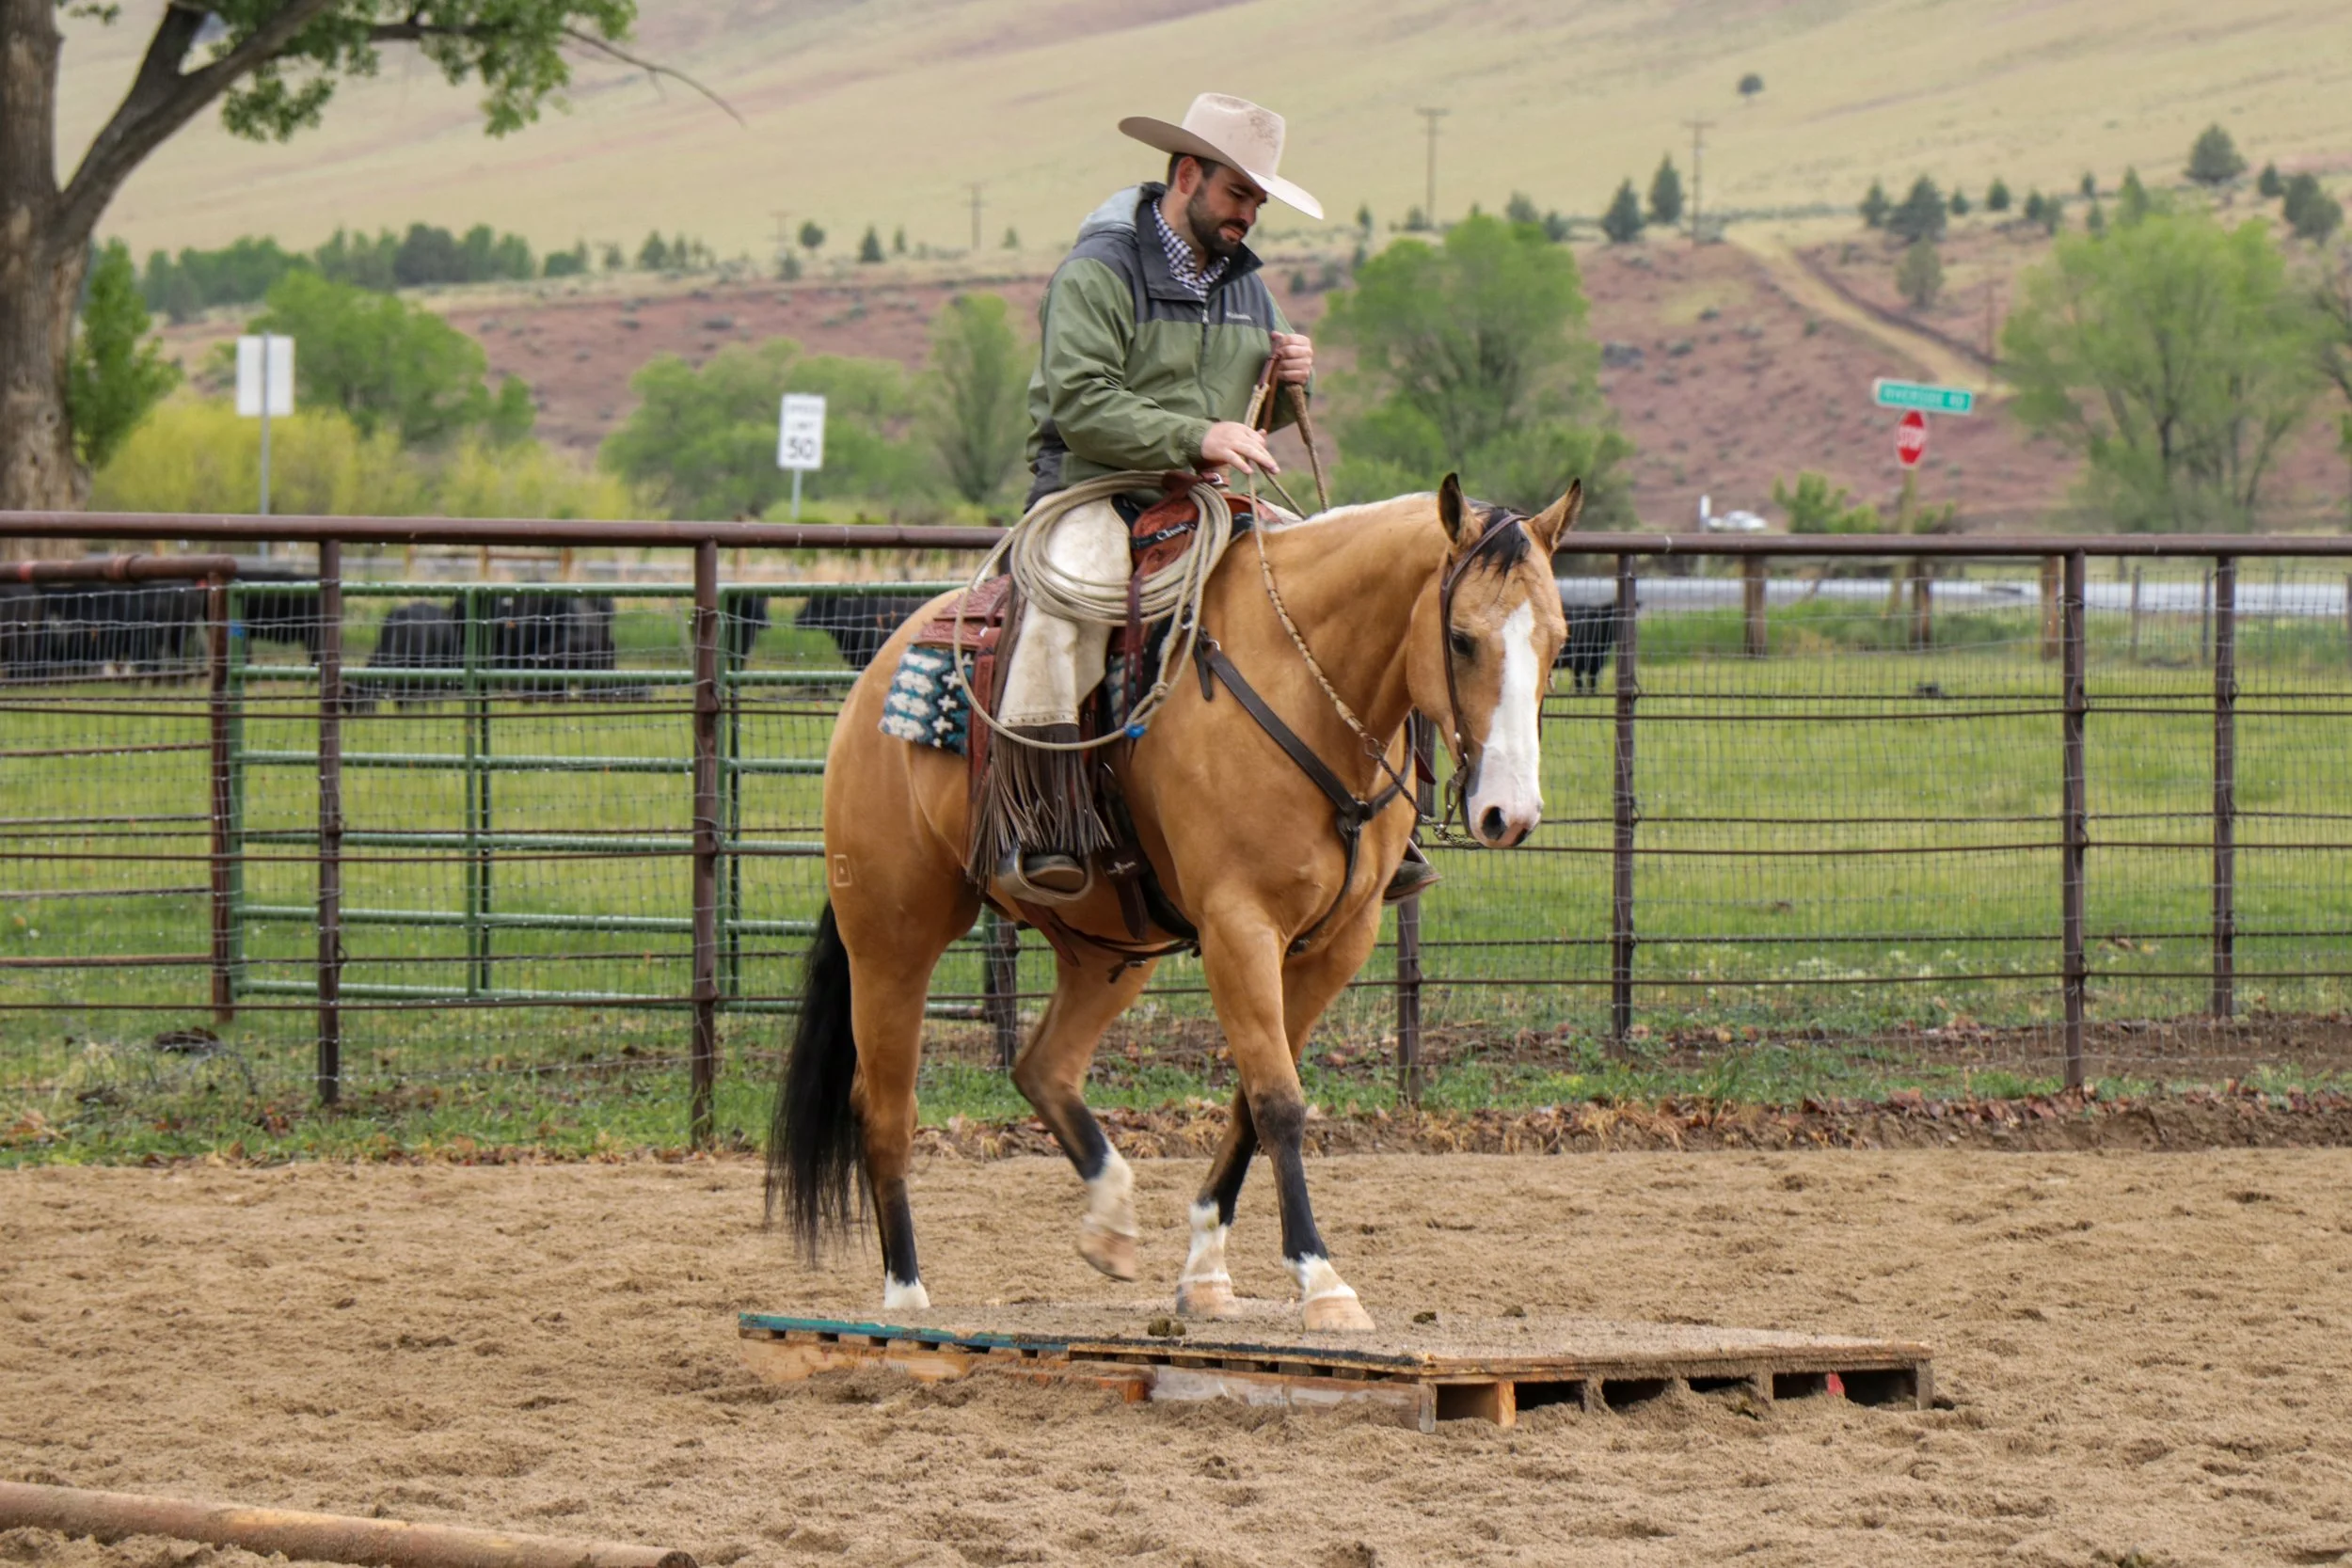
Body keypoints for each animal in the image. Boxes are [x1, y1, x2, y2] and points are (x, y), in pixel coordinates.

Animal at [767, 475, 1577, 1332]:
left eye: (1558, 642)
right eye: (1461, 638)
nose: (1510, 814)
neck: (1302, 682)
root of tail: (875, 679)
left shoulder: (1338, 942)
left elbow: (1252, 1099)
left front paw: (1207, 1274)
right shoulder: (1238, 928)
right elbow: (1278, 1099)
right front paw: (1322, 1279)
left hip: (1111, 951)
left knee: (1042, 1066)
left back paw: (1111, 1222)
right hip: (891, 938)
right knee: (884, 1108)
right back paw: (906, 1294)